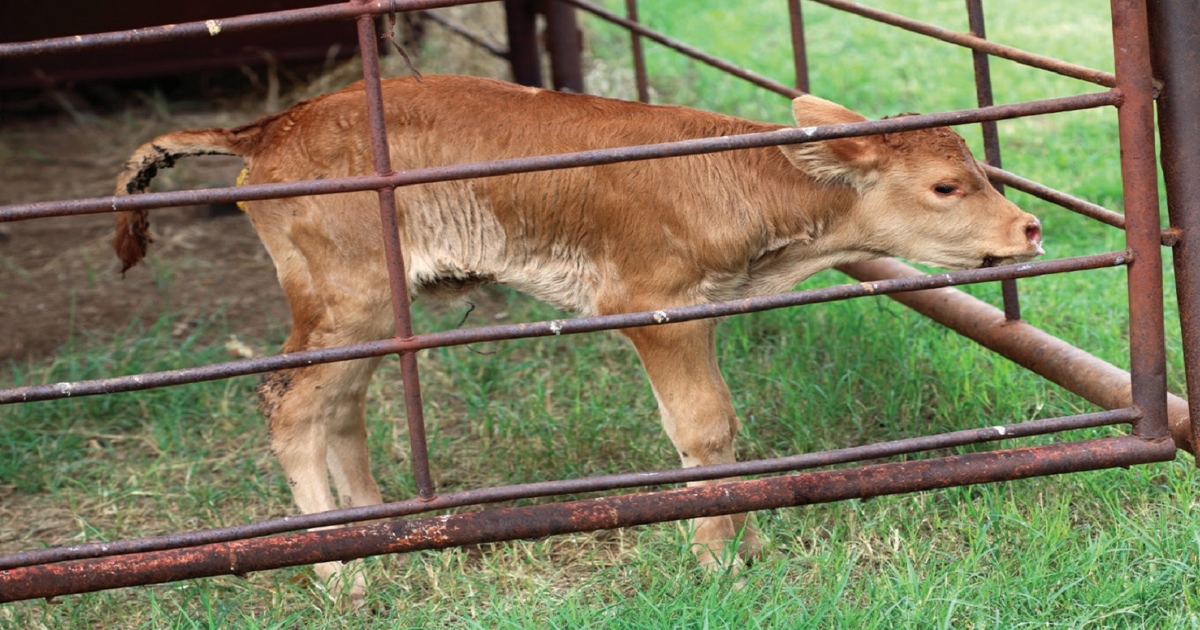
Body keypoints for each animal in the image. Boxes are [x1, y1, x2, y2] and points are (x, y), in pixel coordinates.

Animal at [112, 74, 1043, 604]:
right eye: (947, 185)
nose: (1031, 227)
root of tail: (271, 125)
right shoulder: (651, 303)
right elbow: (702, 427)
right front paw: (719, 562)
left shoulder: (703, 308)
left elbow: (724, 429)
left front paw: (746, 543)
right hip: (348, 297)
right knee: (291, 403)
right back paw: (340, 573)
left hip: (374, 310)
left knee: (341, 405)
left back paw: (384, 532)